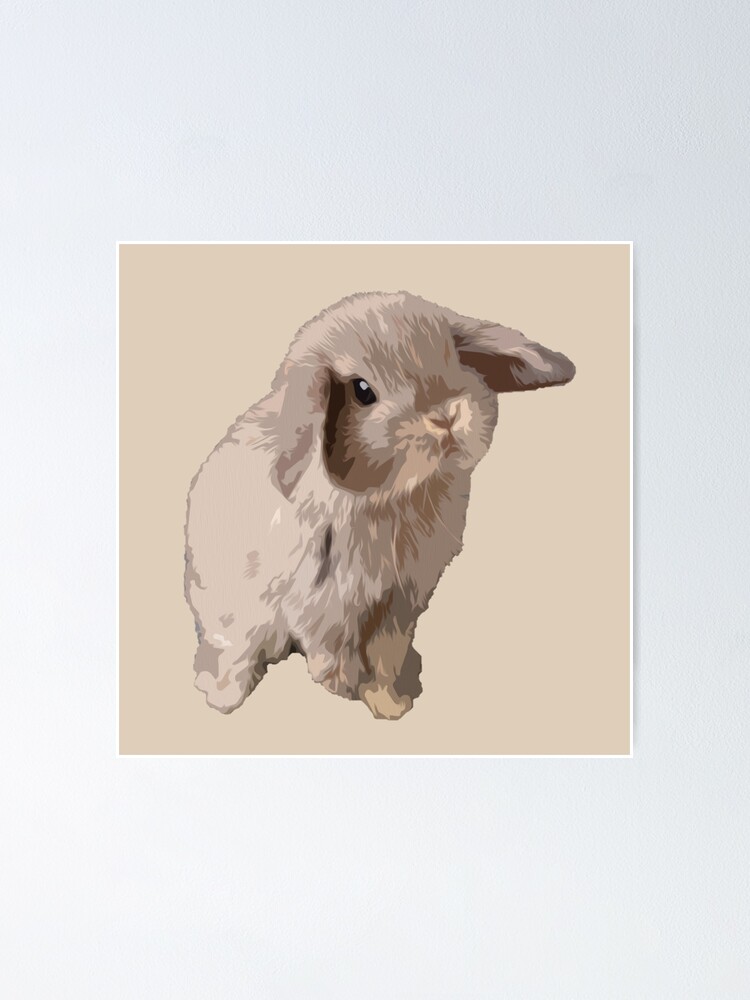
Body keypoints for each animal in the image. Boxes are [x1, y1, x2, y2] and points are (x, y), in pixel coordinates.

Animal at [184, 291, 575, 720]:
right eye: (362, 390)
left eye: (452, 355)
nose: (446, 417)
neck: (394, 498)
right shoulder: (324, 602)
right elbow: (333, 654)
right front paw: (345, 687)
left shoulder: (401, 600)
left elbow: (387, 653)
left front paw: (392, 705)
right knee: (232, 652)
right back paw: (222, 697)